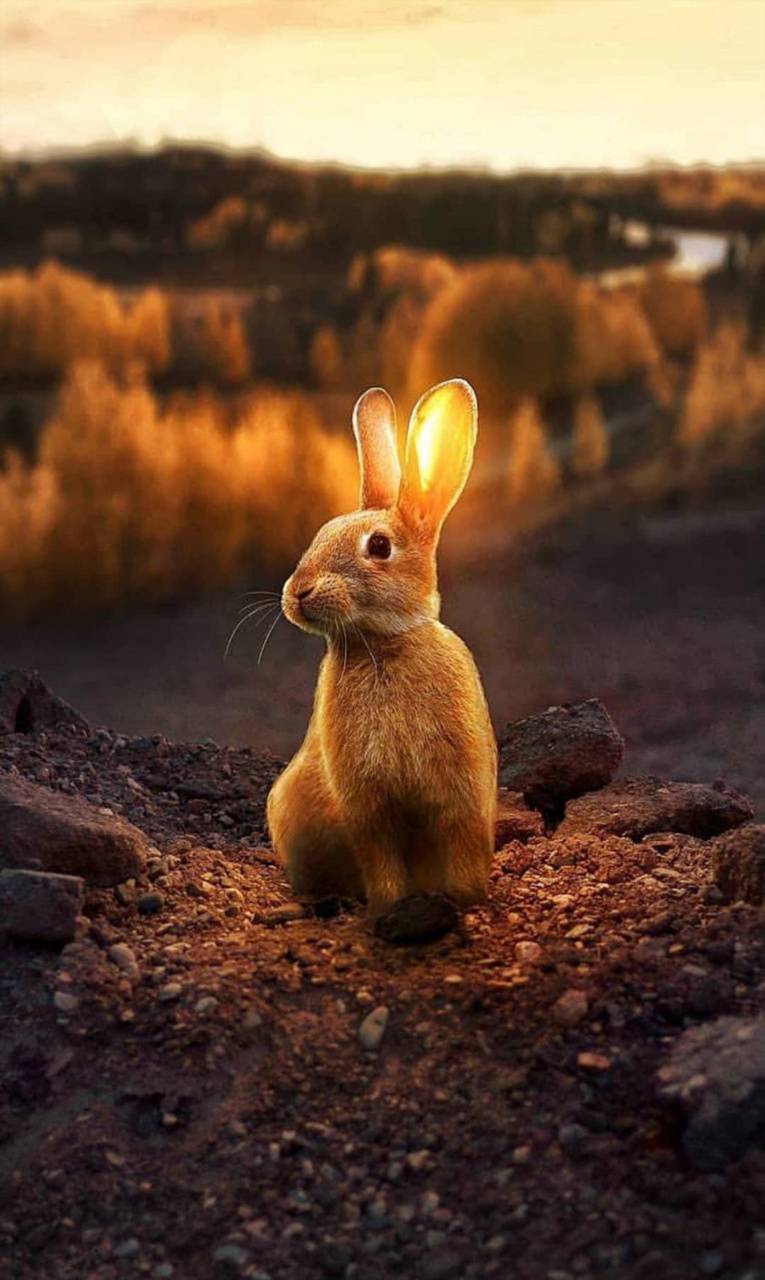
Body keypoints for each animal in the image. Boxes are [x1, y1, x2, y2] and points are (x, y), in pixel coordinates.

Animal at [266, 378, 497, 920]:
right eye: (321, 533)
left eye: (379, 547)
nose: (298, 592)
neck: (383, 643)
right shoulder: (366, 806)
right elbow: (380, 855)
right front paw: (392, 908)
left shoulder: (459, 793)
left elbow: (461, 841)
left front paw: (467, 900)